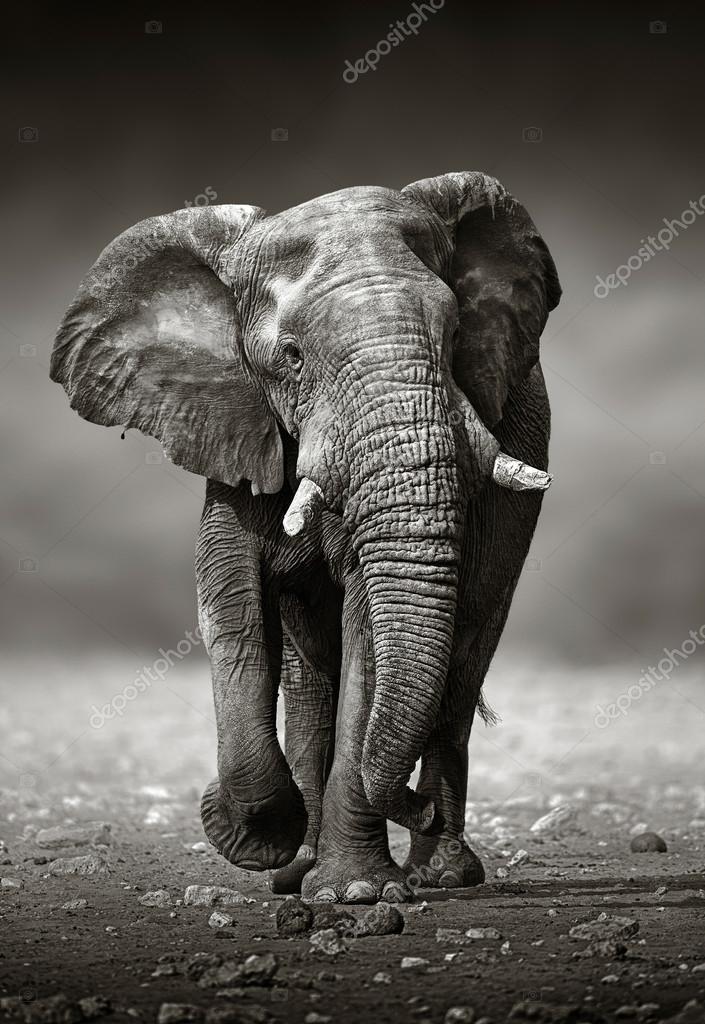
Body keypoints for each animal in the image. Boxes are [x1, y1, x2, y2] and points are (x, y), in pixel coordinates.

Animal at [50, 171, 560, 904]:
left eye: (456, 333)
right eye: (289, 359)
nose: (413, 807)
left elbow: (368, 627)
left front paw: (357, 892)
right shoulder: (235, 427)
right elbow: (231, 606)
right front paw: (257, 837)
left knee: (462, 657)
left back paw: (439, 873)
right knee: (310, 679)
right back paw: (301, 869)